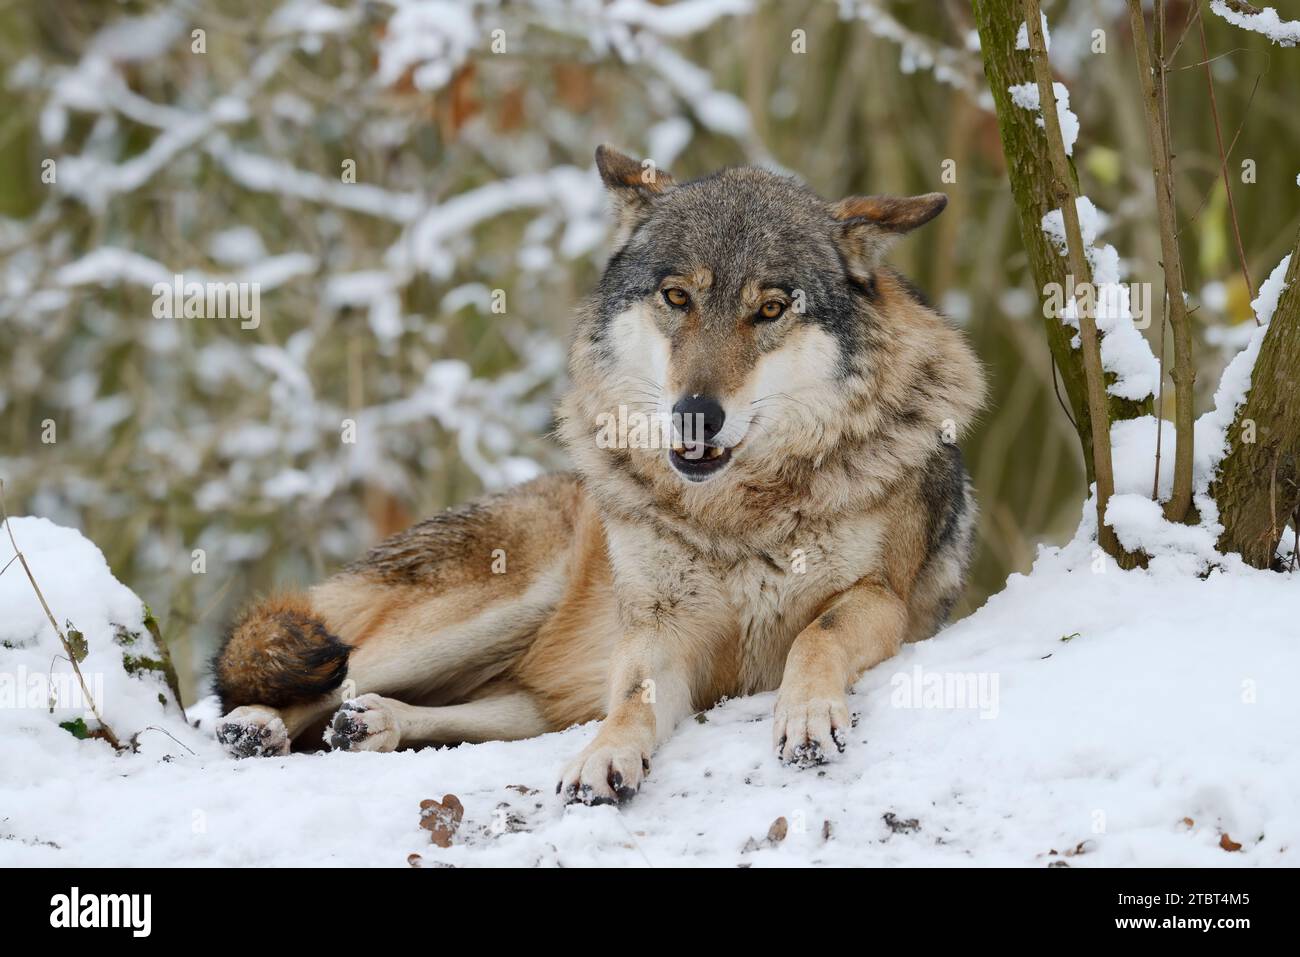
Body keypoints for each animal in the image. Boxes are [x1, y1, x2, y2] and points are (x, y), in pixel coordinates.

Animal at [213, 146, 986, 805]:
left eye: (770, 309)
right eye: (677, 298)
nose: (695, 416)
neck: (736, 512)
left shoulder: (880, 599)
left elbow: (815, 633)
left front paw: (807, 716)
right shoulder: (659, 627)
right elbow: (634, 699)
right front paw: (604, 758)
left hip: (520, 691)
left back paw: (370, 724)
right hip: (486, 609)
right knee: (317, 674)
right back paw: (258, 725)